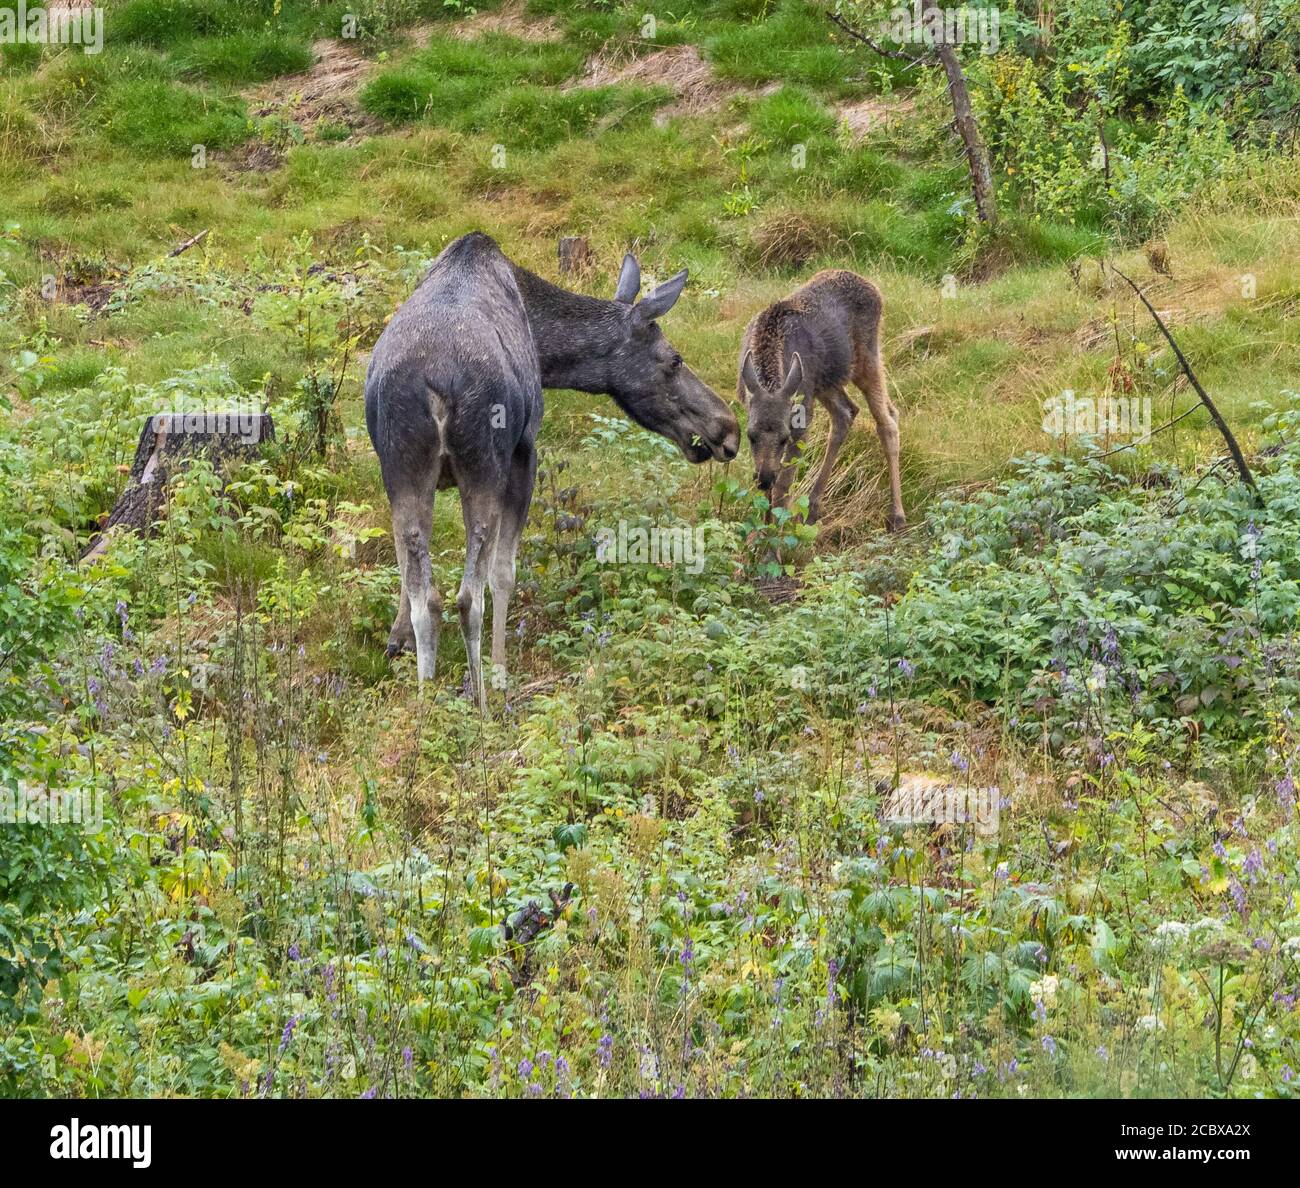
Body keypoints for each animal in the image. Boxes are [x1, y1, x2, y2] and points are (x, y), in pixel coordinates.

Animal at [365, 231, 739, 710]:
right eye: (673, 359)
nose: (728, 428)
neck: (545, 352)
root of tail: (433, 381)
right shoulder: (524, 455)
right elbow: (503, 577)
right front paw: (502, 673)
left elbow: (409, 579)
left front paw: (398, 642)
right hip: (485, 466)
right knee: (469, 596)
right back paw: (482, 701)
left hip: (404, 468)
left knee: (425, 596)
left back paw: (426, 699)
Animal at [737, 269, 904, 531]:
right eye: (750, 435)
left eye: (784, 437)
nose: (764, 479)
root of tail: (874, 287)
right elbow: (769, 490)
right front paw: (762, 529)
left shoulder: (801, 418)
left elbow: (783, 486)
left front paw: (775, 538)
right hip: (826, 382)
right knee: (847, 412)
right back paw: (813, 506)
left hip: (867, 359)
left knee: (887, 420)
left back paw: (897, 515)